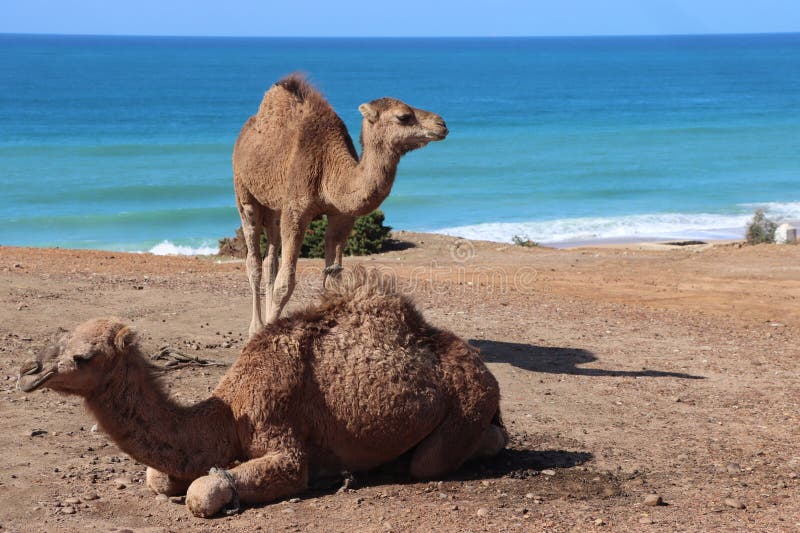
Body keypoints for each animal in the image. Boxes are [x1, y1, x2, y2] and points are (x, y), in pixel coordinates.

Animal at [17, 268, 505, 518]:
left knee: (440, 458)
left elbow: (204, 490)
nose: (27, 371)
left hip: (470, 400)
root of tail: (480, 363)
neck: (229, 412)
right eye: (58, 338)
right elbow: (158, 477)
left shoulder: (278, 429)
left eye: (82, 357)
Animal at [233, 74, 448, 336]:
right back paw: (256, 328)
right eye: (404, 116)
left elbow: (332, 280)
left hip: (273, 206)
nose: (441, 124)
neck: (329, 169)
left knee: (270, 259)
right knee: (253, 261)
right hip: (244, 192)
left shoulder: (341, 216)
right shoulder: (296, 210)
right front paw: (270, 333)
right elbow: (286, 283)